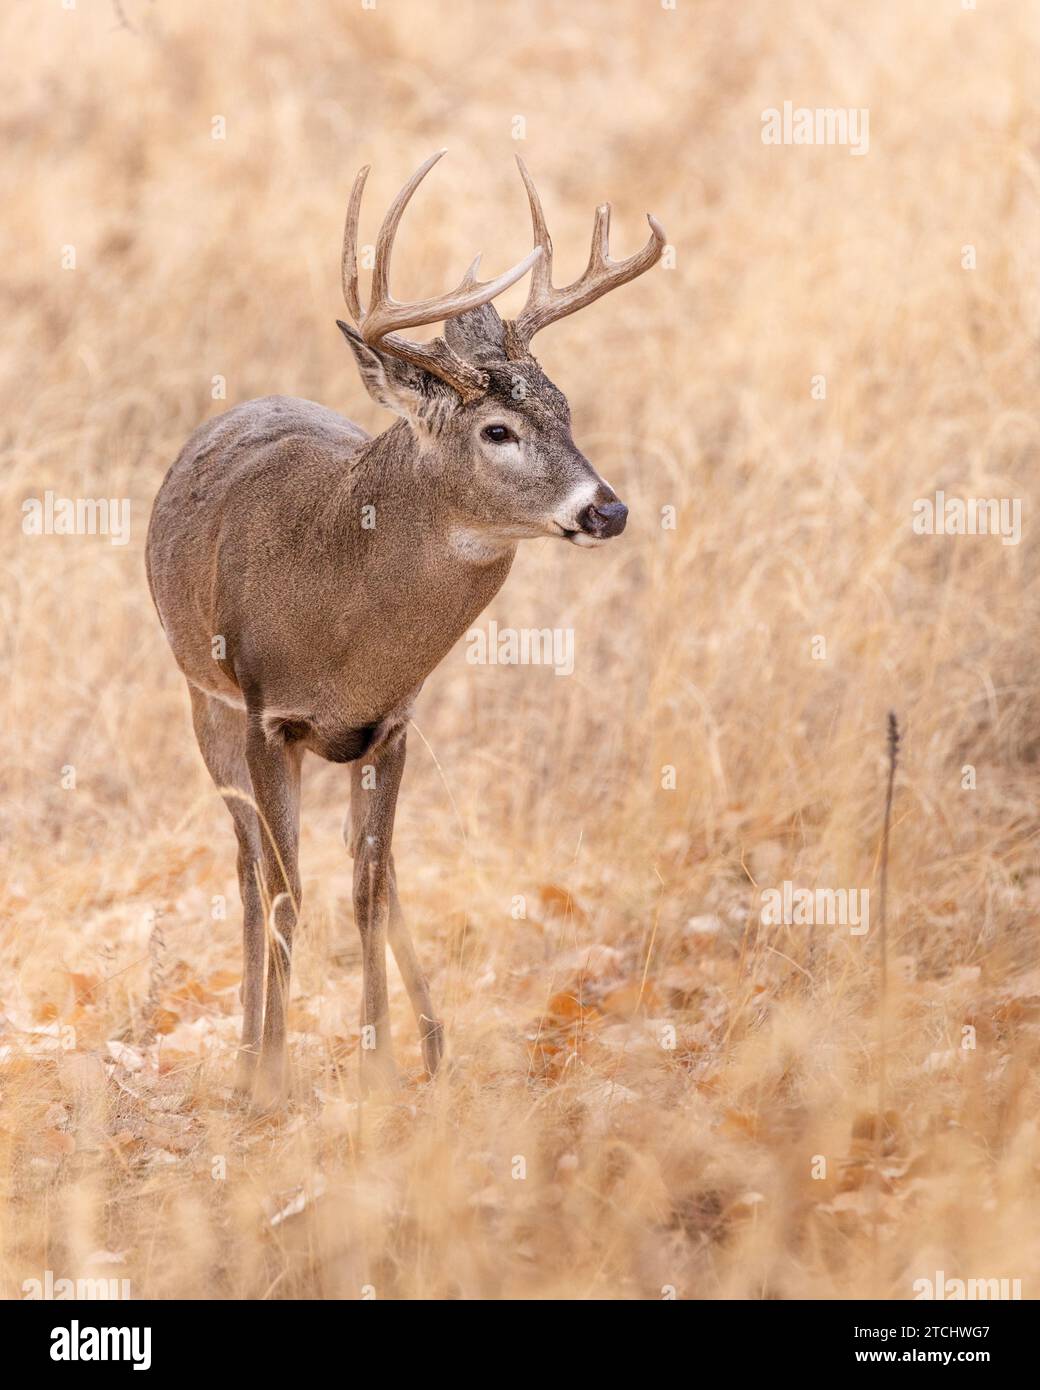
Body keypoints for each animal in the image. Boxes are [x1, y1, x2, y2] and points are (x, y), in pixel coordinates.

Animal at [145, 150, 665, 1107]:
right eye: (496, 429)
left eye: (567, 409)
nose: (606, 510)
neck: (343, 625)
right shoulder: (267, 716)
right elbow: (287, 890)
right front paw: (271, 1076)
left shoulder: (392, 722)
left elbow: (364, 884)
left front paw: (380, 1065)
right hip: (203, 702)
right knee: (247, 867)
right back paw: (245, 1053)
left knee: (366, 873)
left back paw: (428, 1039)